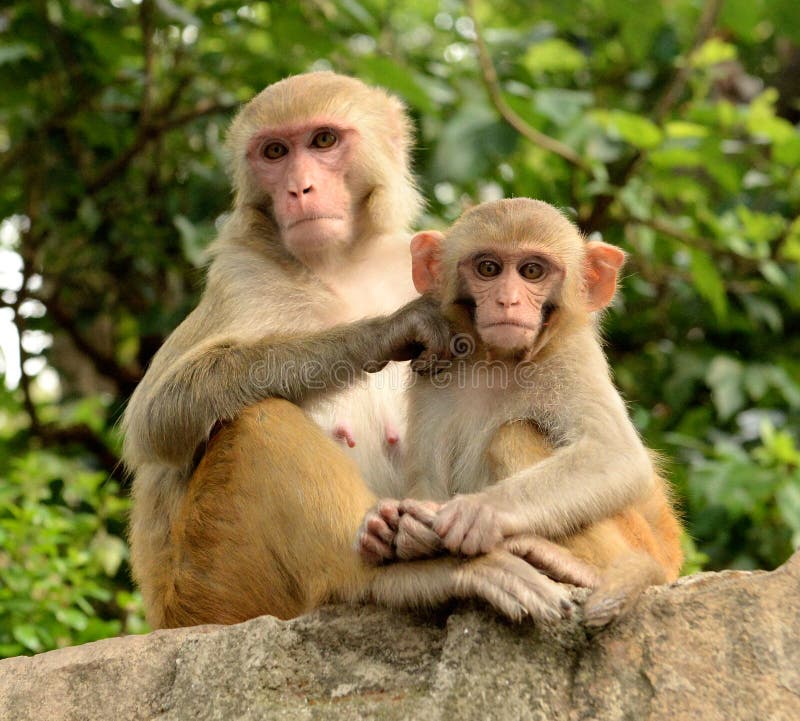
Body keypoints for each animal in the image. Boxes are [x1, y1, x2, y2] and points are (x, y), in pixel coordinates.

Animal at [122, 73, 582, 629]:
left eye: (323, 141)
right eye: (274, 152)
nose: (299, 188)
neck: (341, 267)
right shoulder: (240, 273)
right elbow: (157, 417)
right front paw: (391, 329)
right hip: (209, 588)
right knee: (255, 421)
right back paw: (404, 576)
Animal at [356, 198, 683, 625]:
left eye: (531, 271)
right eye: (488, 268)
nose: (508, 300)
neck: (499, 361)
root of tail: (671, 557)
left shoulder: (573, 359)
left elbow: (616, 455)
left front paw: (479, 513)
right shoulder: (432, 375)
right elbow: (426, 480)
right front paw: (391, 525)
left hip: (639, 541)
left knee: (511, 434)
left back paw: (576, 567)